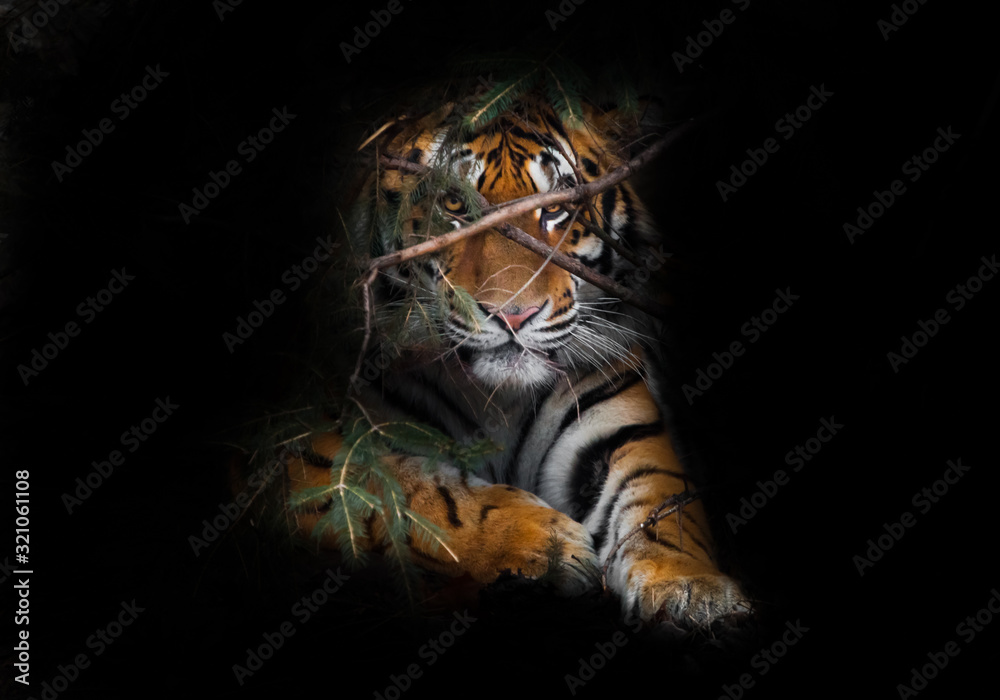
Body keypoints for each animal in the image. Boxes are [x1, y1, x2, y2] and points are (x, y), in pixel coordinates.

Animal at [279, 87, 749, 627]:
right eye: (454, 203)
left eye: (557, 210)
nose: (513, 314)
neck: (499, 400)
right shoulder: (313, 444)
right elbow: (419, 491)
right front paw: (545, 546)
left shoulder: (623, 430)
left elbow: (665, 507)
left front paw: (694, 590)